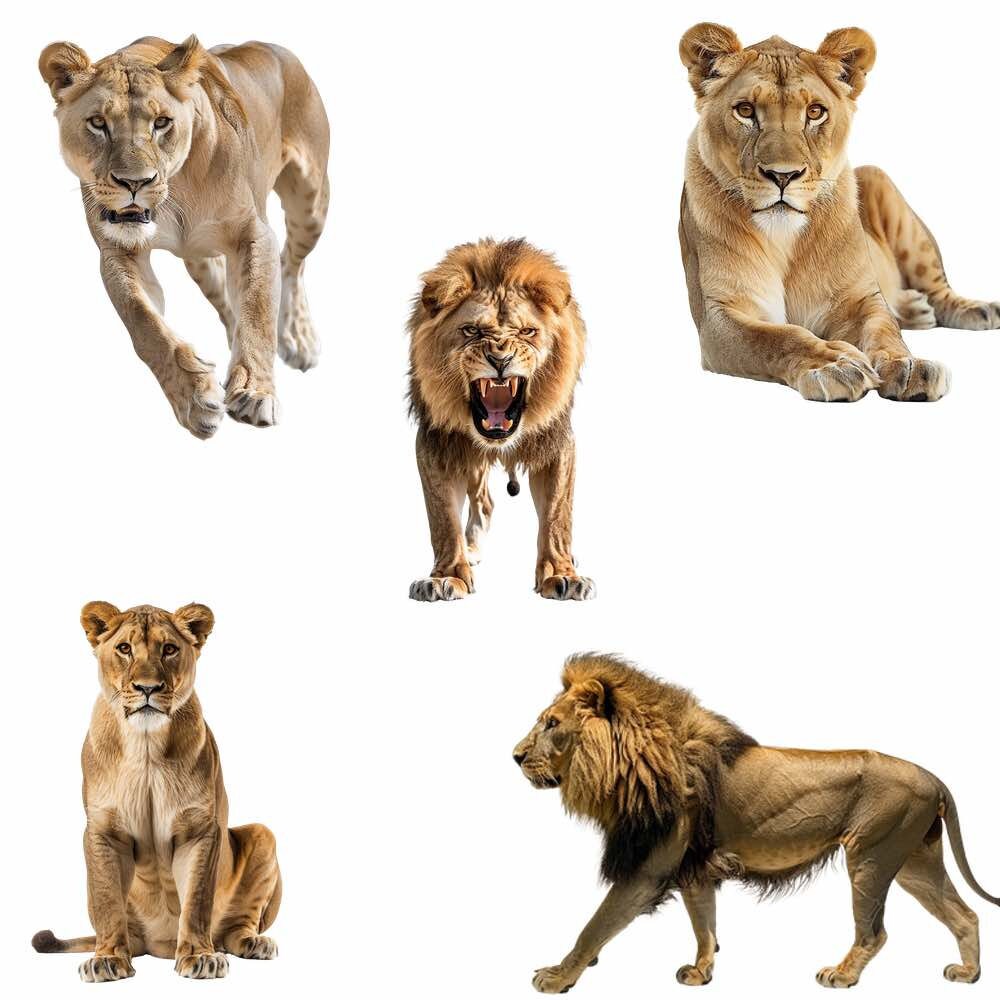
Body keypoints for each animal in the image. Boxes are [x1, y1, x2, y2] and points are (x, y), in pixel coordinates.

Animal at [31, 602, 281, 982]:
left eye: (170, 649)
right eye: (124, 649)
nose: (147, 687)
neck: (145, 745)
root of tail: (160, 945)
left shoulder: (200, 830)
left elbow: (196, 900)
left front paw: (199, 956)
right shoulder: (103, 831)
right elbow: (108, 902)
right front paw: (108, 958)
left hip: (262, 835)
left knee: (237, 926)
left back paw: (253, 943)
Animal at [38, 36, 330, 437]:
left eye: (162, 123)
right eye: (98, 123)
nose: (134, 183)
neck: (177, 192)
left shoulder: (255, 233)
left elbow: (258, 309)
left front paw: (256, 394)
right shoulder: (119, 251)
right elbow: (145, 323)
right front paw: (194, 396)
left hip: (310, 203)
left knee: (292, 264)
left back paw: (299, 340)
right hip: (201, 261)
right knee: (229, 304)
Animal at [407, 238, 594, 602]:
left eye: (527, 331)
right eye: (471, 330)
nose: (500, 359)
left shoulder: (556, 442)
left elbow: (557, 515)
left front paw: (561, 575)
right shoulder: (438, 444)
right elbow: (443, 519)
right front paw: (447, 577)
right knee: (483, 501)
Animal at [514, 654, 999, 991]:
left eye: (551, 724)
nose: (515, 756)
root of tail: (934, 778)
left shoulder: (648, 869)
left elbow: (596, 924)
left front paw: (557, 976)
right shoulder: (695, 867)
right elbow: (704, 923)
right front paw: (702, 971)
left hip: (871, 856)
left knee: (875, 933)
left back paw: (842, 975)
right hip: (915, 859)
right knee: (965, 915)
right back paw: (969, 973)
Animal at [678, 24, 1000, 402]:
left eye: (815, 113)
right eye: (745, 110)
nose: (783, 175)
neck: (783, 237)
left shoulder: (859, 298)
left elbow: (885, 330)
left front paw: (908, 366)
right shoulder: (720, 315)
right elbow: (778, 337)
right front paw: (835, 366)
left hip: (879, 181)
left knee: (937, 288)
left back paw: (973, 309)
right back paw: (915, 310)